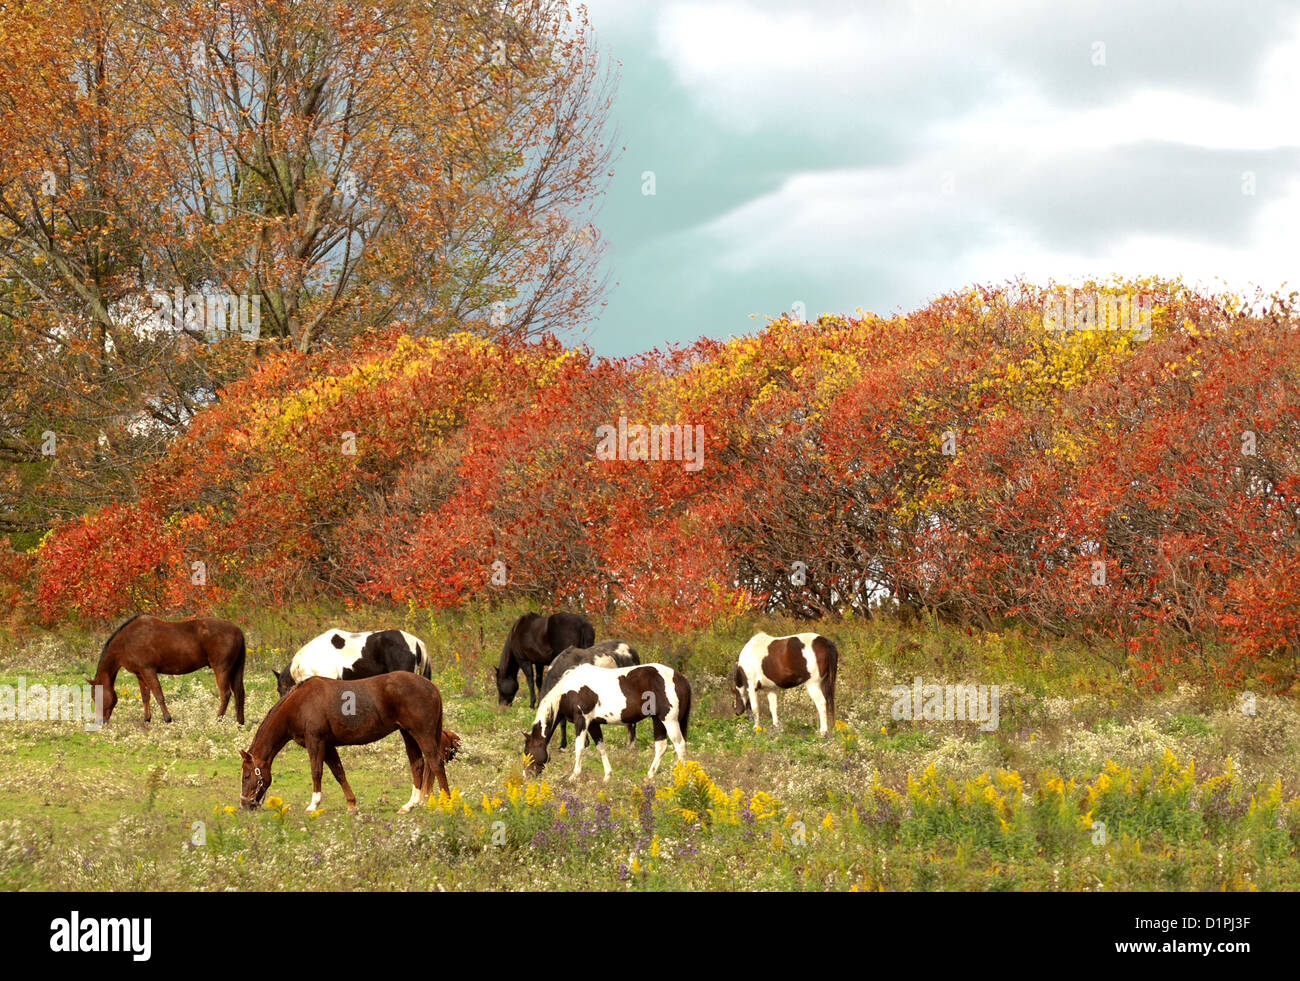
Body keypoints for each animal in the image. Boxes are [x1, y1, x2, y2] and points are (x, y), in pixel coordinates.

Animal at [87, 614, 246, 725]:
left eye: (95, 696)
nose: (101, 722)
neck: (127, 640)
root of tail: (238, 630)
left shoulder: (148, 670)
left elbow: (158, 695)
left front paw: (167, 719)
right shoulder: (140, 674)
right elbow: (145, 697)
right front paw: (147, 719)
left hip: (221, 669)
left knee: (226, 694)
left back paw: (218, 720)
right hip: (234, 669)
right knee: (239, 693)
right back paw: (239, 723)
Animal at [239, 673, 459, 814]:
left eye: (247, 775)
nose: (245, 805)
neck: (299, 704)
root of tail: (431, 686)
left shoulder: (315, 742)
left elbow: (316, 772)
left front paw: (313, 805)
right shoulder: (328, 745)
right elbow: (339, 773)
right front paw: (351, 805)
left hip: (422, 733)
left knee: (435, 764)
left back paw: (444, 804)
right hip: (408, 734)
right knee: (418, 765)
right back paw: (410, 804)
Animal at [523, 663, 690, 783]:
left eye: (527, 752)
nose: (526, 776)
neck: (568, 692)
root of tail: (680, 678)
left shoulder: (582, 721)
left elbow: (579, 748)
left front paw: (573, 776)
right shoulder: (593, 724)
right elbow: (601, 748)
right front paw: (607, 776)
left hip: (669, 721)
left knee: (680, 745)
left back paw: (682, 779)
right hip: (658, 720)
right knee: (661, 747)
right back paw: (649, 776)